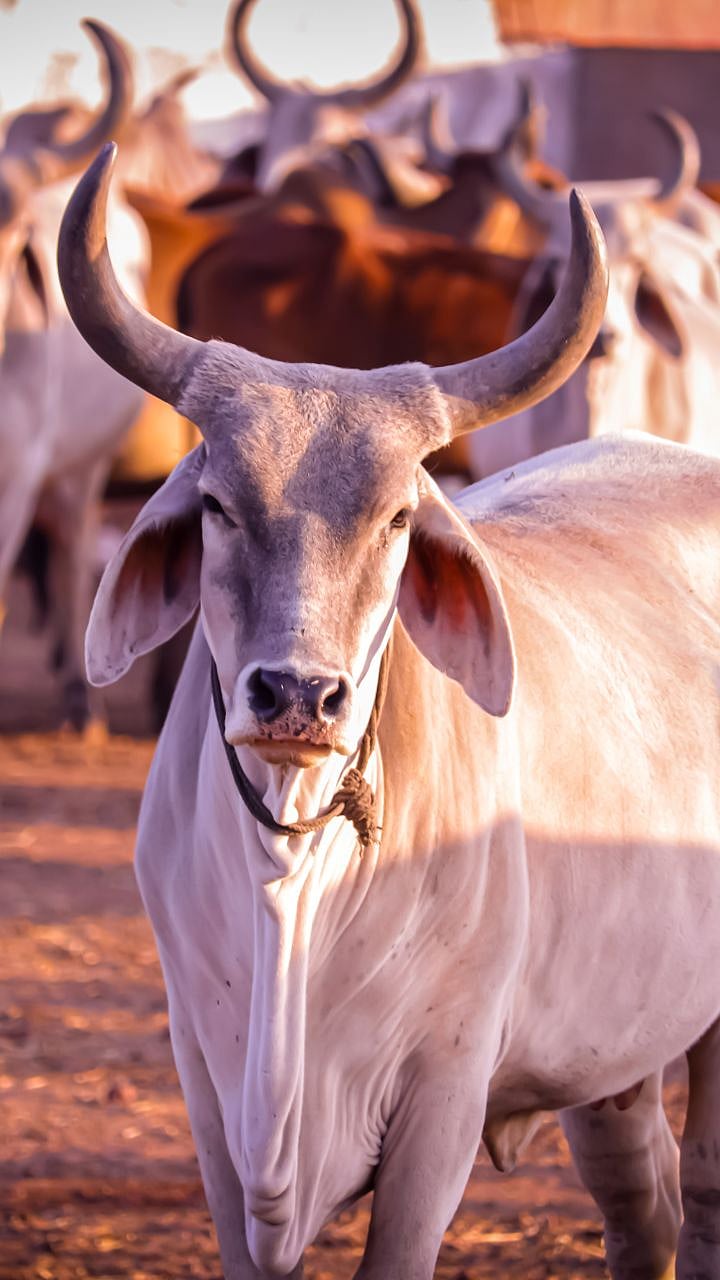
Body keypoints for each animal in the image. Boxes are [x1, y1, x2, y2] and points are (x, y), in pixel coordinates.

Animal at [58, 142, 720, 1280]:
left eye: (403, 515)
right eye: (218, 504)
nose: (297, 695)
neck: (291, 881)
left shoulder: (442, 1096)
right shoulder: (209, 1093)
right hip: (616, 1046)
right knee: (646, 1202)